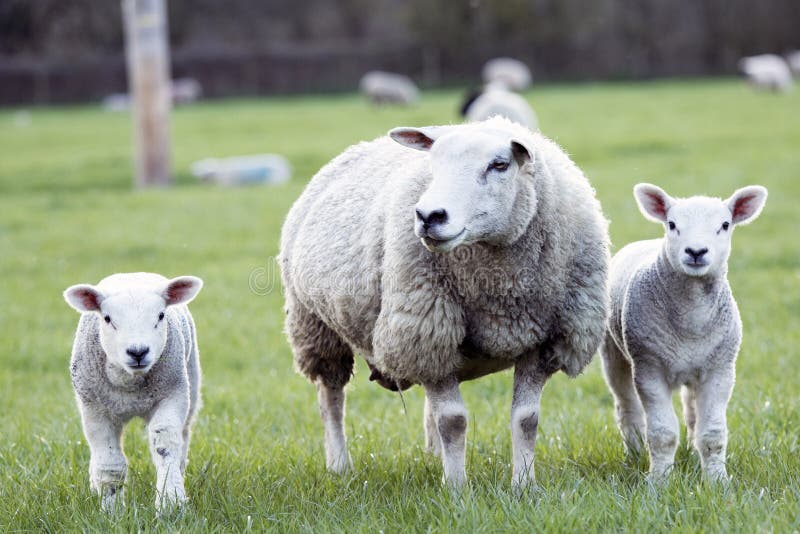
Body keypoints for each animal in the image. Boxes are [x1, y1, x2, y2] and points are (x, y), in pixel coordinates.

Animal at [63, 273, 203, 512]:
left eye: (160, 315)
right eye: (107, 318)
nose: (138, 352)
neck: (129, 385)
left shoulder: (172, 395)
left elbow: (164, 445)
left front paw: (170, 502)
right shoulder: (95, 409)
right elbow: (110, 463)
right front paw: (111, 510)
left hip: (191, 382)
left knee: (183, 435)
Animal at [279, 116, 609, 490]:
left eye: (500, 165)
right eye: (433, 164)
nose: (428, 216)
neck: (500, 290)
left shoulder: (542, 342)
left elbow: (527, 419)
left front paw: (524, 486)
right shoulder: (428, 331)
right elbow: (453, 420)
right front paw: (456, 488)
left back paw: (432, 456)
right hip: (317, 325)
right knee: (331, 398)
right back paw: (339, 464)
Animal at [600, 184, 767, 483]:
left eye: (725, 225)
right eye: (672, 224)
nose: (696, 251)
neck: (691, 322)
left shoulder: (721, 370)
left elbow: (712, 433)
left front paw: (717, 481)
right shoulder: (649, 368)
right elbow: (662, 433)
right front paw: (658, 481)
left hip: (695, 368)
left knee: (691, 412)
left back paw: (691, 449)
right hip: (614, 353)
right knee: (627, 408)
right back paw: (635, 455)